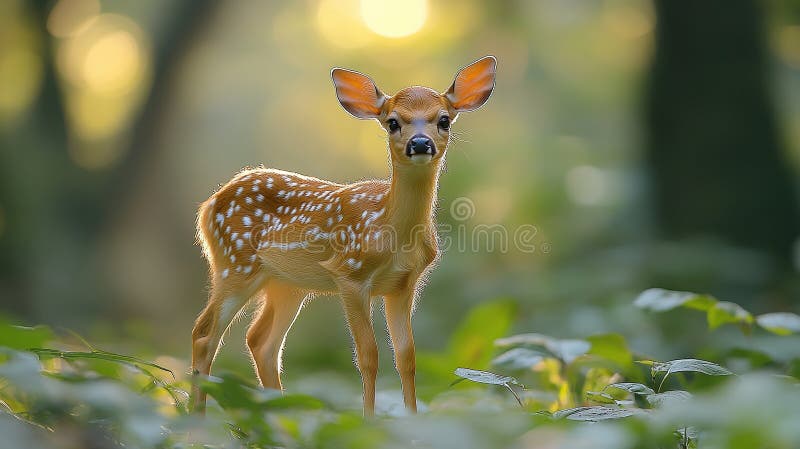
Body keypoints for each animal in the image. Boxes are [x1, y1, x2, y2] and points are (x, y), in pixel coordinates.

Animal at [190, 56, 497, 416]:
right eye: (393, 122)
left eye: (444, 120)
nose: (420, 143)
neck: (392, 230)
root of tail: (208, 204)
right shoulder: (350, 274)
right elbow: (368, 356)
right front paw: (368, 418)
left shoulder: (403, 285)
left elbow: (406, 356)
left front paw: (411, 418)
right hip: (235, 262)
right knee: (204, 333)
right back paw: (196, 418)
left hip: (286, 283)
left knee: (261, 341)